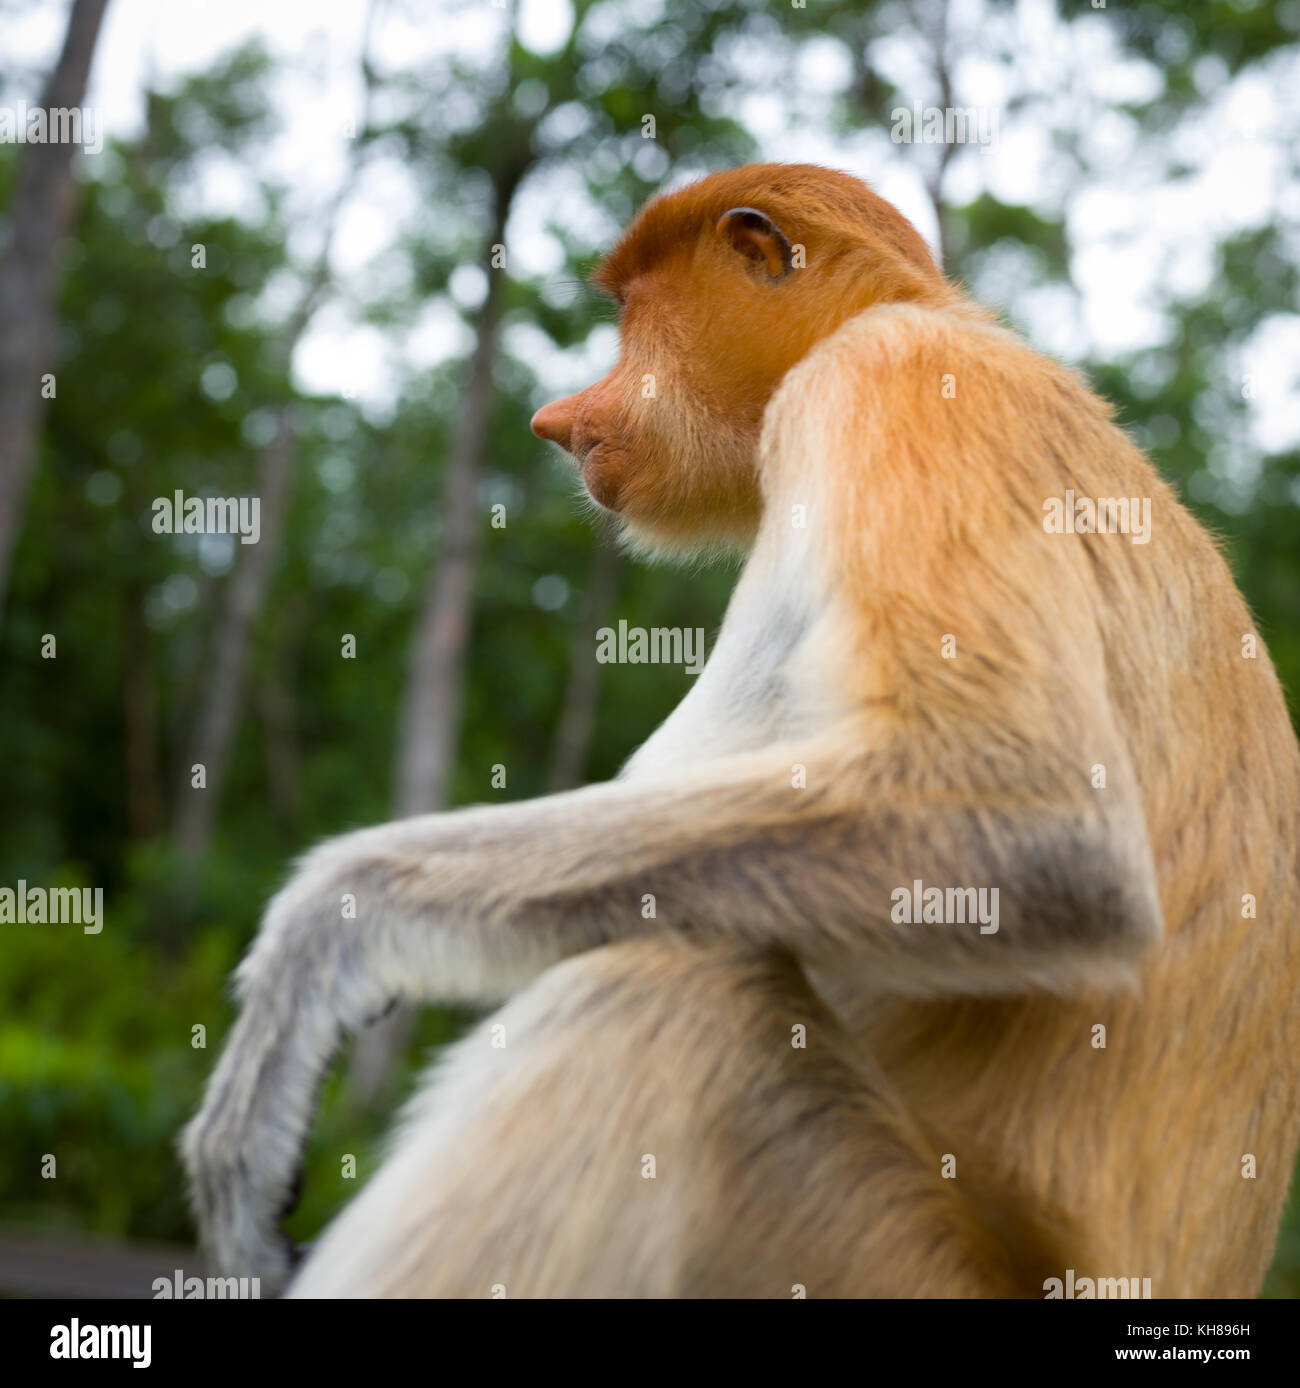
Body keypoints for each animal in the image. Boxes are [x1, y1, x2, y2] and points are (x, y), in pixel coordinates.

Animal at [182, 163, 1300, 1299]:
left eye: (631, 315)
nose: (557, 418)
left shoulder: (887, 378)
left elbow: (1040, 828)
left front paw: (318, 950)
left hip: (873, 1256)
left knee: (675, 986)